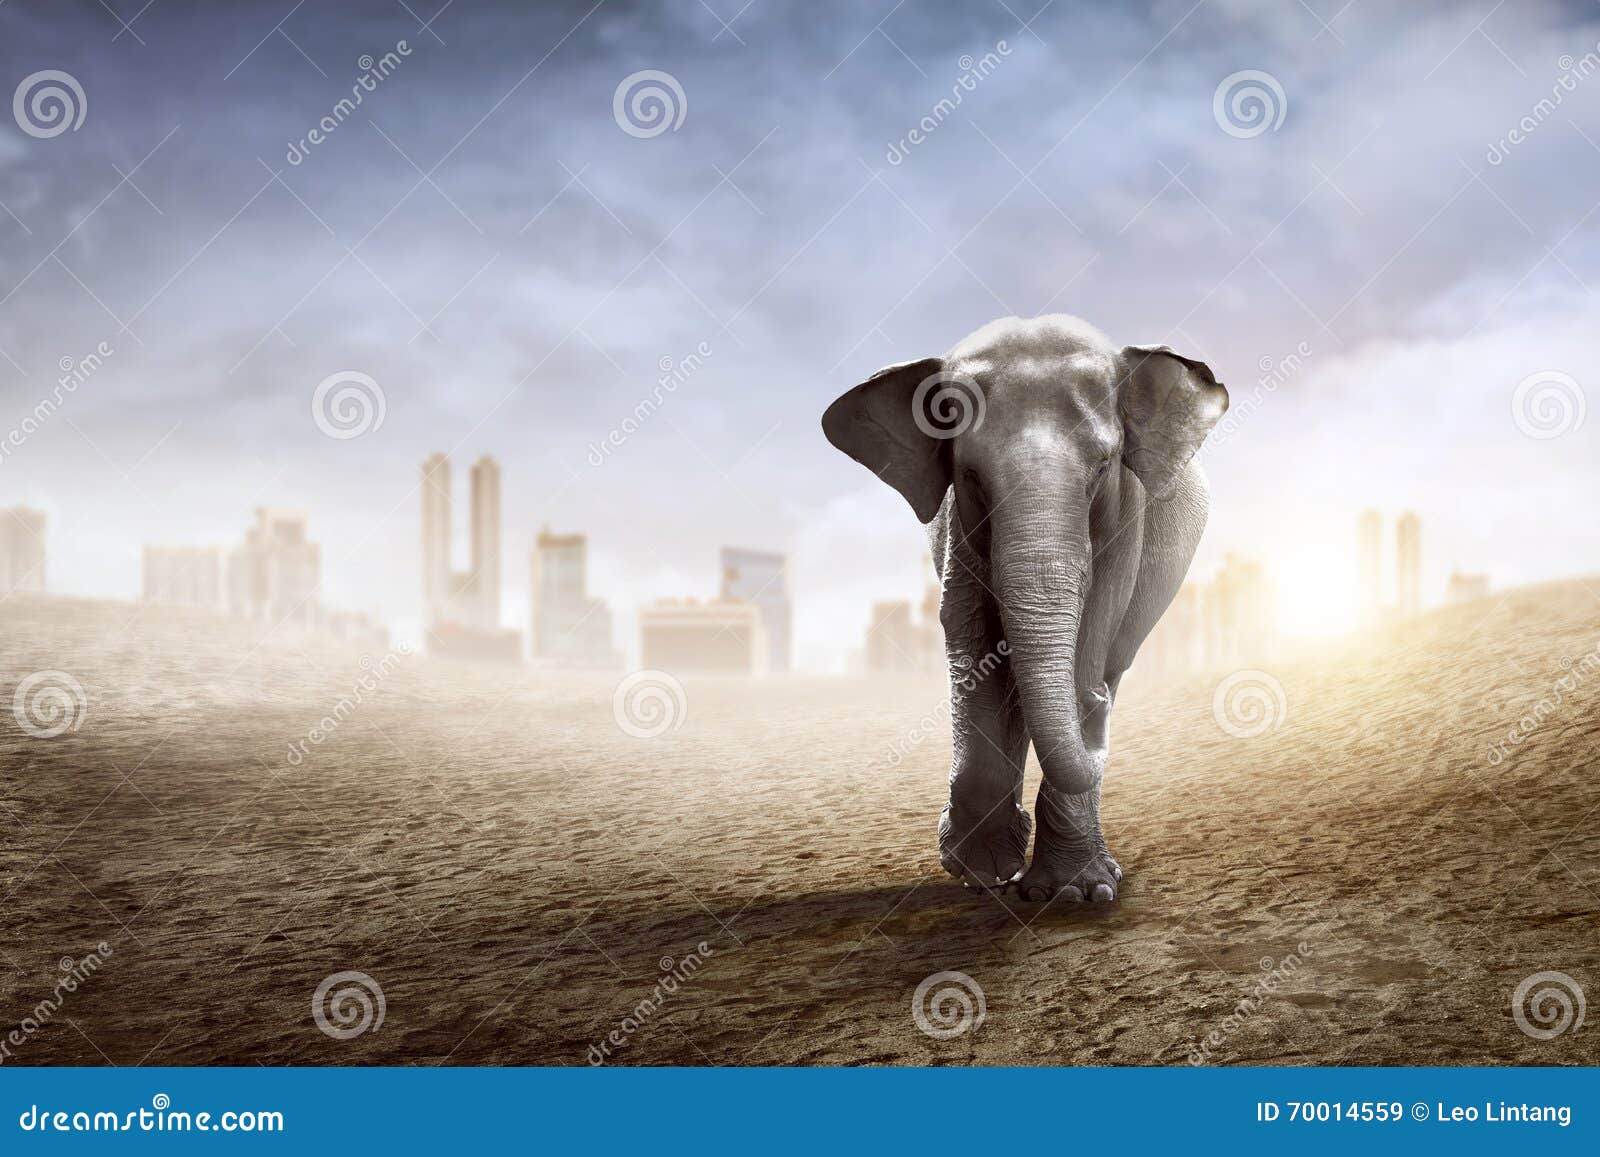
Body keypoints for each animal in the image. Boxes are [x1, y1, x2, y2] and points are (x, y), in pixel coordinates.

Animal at [822, 314, 1227, 903]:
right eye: (970, 476)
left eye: (1102, 469)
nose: (1096, 708)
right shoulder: (959, 527)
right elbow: (970, 636)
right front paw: (980, 870)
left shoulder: (1127, 518)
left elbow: (1092, 633)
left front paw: (1073, 895)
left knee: (1112, 653)